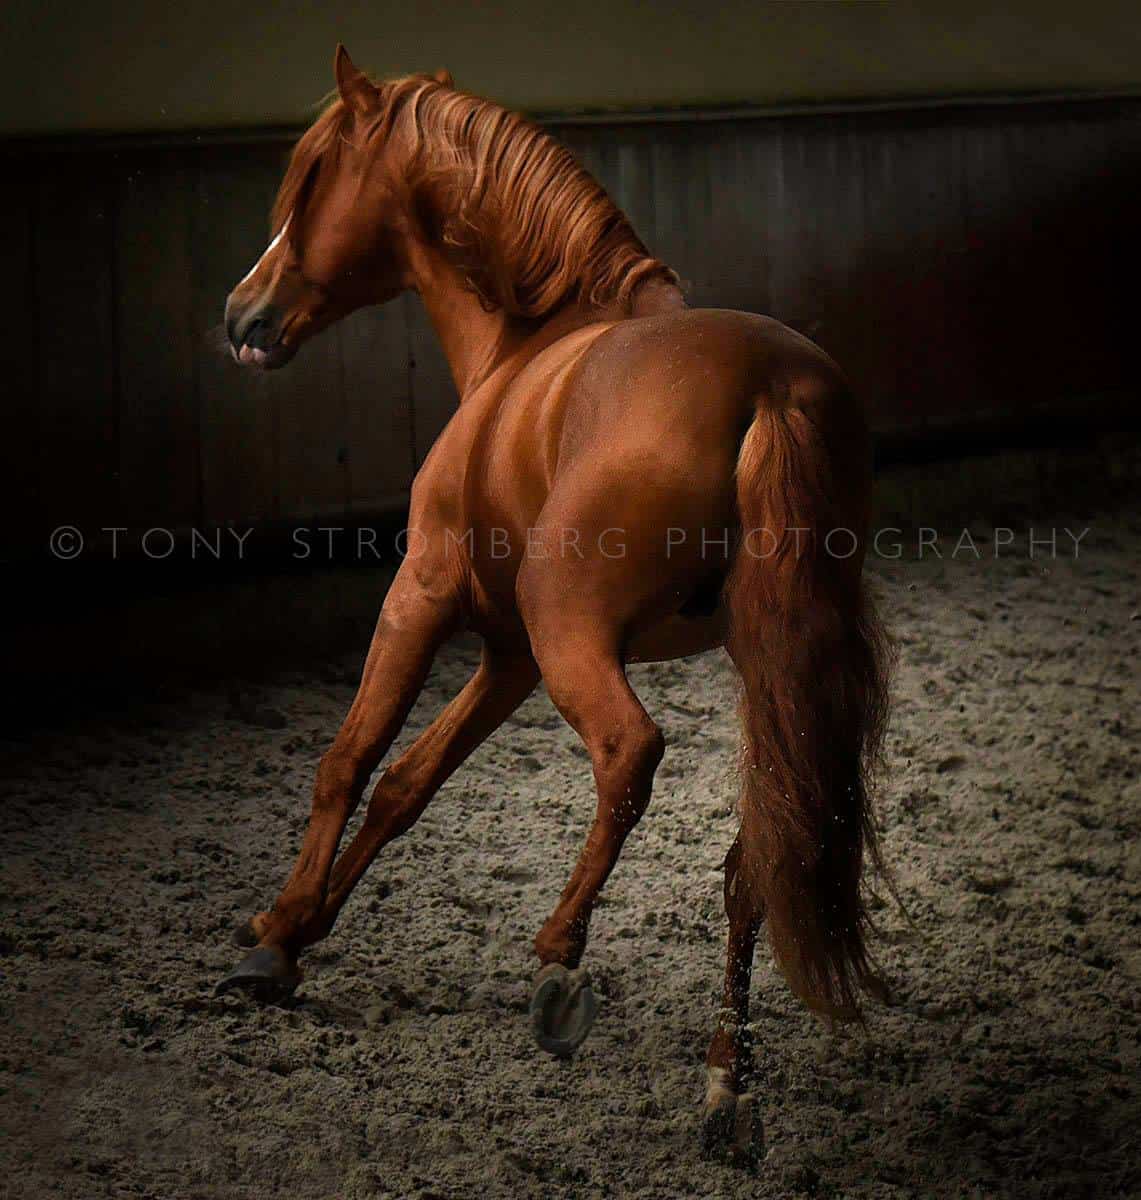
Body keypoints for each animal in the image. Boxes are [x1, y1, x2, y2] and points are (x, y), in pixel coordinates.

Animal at [217, 45, 891, 1160]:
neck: (533, 343)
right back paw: (724, 1088)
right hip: (764, 669)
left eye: (310, 176)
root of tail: (772, 386)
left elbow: (350, 758)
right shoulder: (507, 653)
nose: (243, 316)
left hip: (574, 631)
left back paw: (559, 958)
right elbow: (409, 783)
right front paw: (298, 931)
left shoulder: (426, 595)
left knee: (630, 752)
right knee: (763, 844)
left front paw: (273, 937)